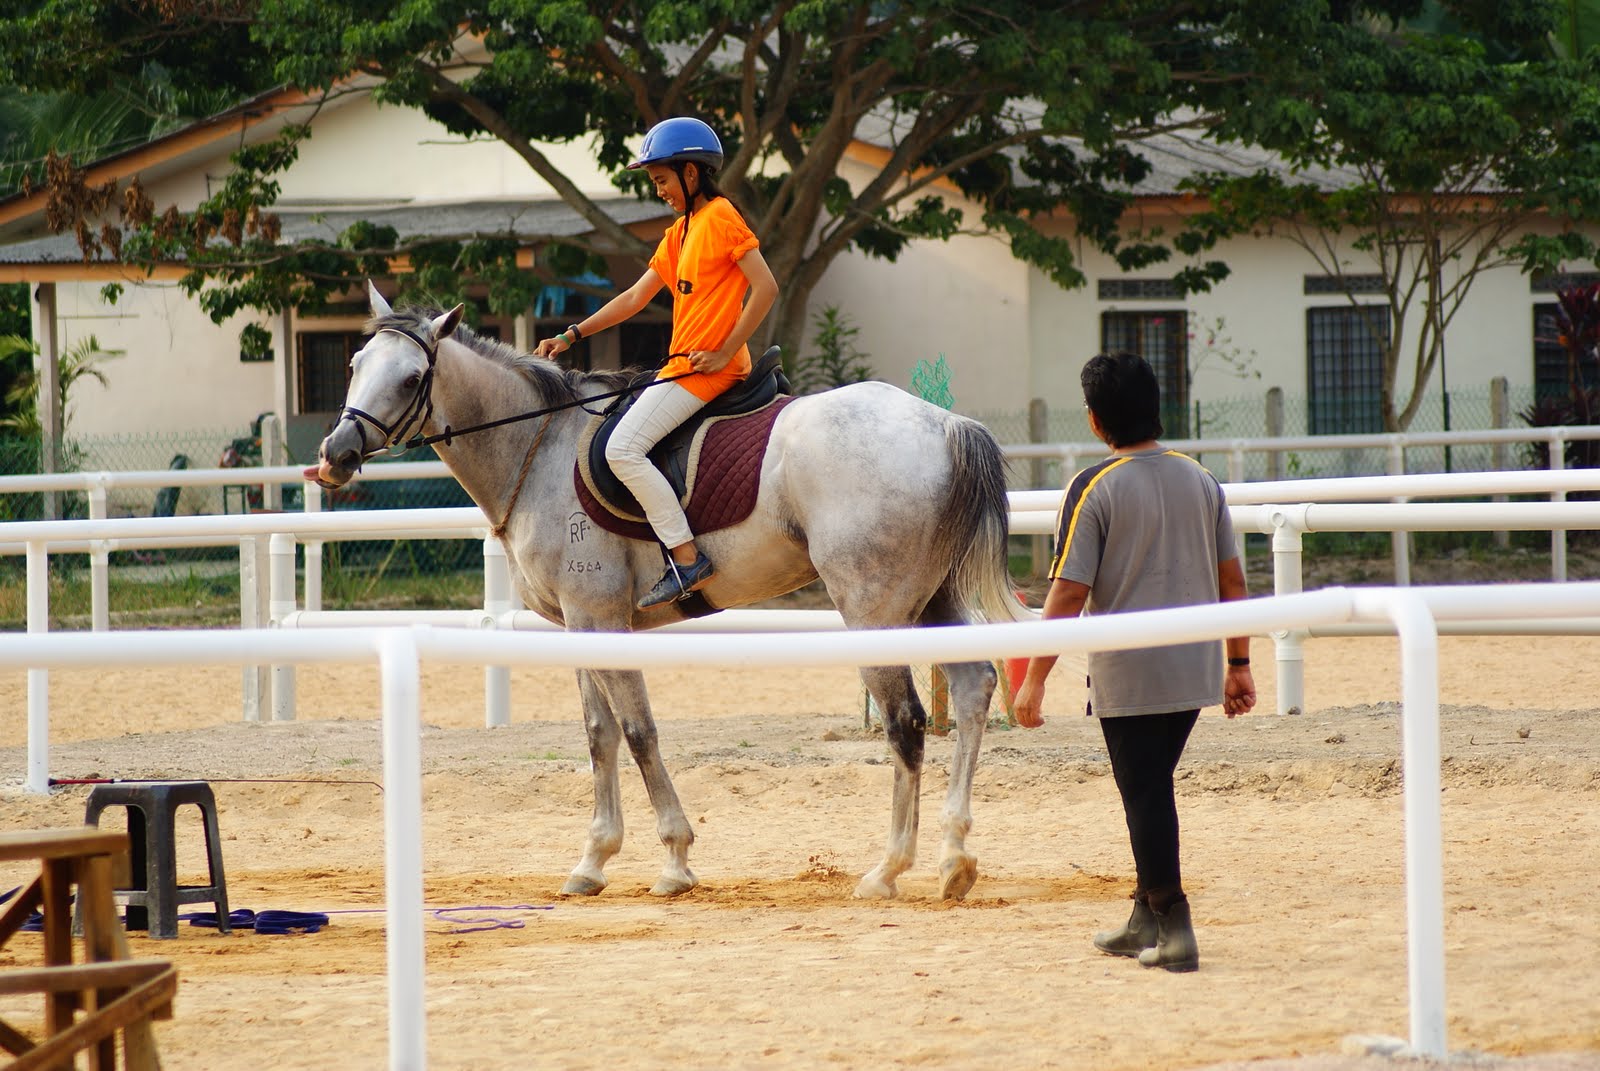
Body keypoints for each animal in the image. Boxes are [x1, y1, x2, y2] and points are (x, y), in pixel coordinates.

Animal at [308, 282, 1031, 901]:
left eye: (410, 379)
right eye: (355, 364)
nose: (335, 455)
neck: (538, 448)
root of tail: (943, 424)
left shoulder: (601, 619)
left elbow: (637, 732)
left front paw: (674, 861)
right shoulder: (578, 626)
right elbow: (599, 734)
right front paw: (593, 861)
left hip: (874, 612)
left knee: (906, 722)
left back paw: (888, 869)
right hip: (930, 602)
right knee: (972, 688)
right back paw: (954, 858)